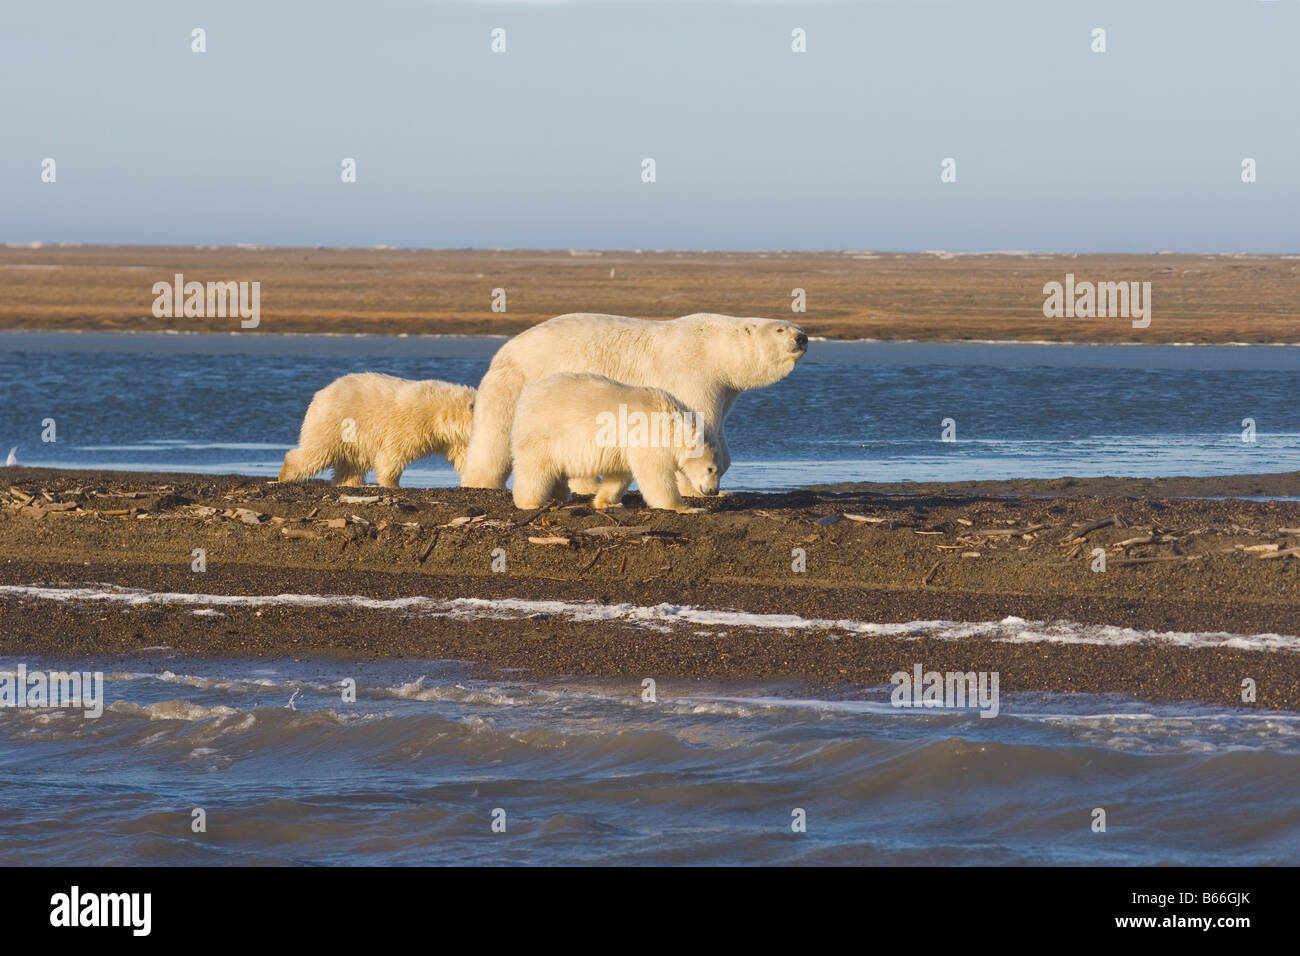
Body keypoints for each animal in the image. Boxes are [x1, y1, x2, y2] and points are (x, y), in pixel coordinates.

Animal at [278, 372, 475, 488]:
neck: (440, 412)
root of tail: (320, 394)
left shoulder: (451, 439)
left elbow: (465, 456)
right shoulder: (411, 424)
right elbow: (393, 454)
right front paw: (392, 484)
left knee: (352, 464)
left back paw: (349, 483)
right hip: (333, 423)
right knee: (316, 453)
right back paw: (285, 474)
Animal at [459, 312, 807, 495]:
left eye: (798, 327)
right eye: (780, 329)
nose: (802, 338)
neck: (715, 350)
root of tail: (505, 348)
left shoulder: (725, 389)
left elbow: (719, 431)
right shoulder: (693, 374)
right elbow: (695, 428)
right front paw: (698, 487)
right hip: (521, 381)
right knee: (495, 434)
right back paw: (481, 482)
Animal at [510, 373, 721, 514]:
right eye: (711, 469)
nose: (713, 491)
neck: (669, 421)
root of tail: (524, 396)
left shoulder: (626, 448)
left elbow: (620, 475)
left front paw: (607, 502)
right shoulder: (648, 438)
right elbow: (655, 477)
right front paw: (688, 508)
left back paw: (562, 494)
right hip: (543, 434)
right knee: (535, 469)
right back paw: (529, 502)